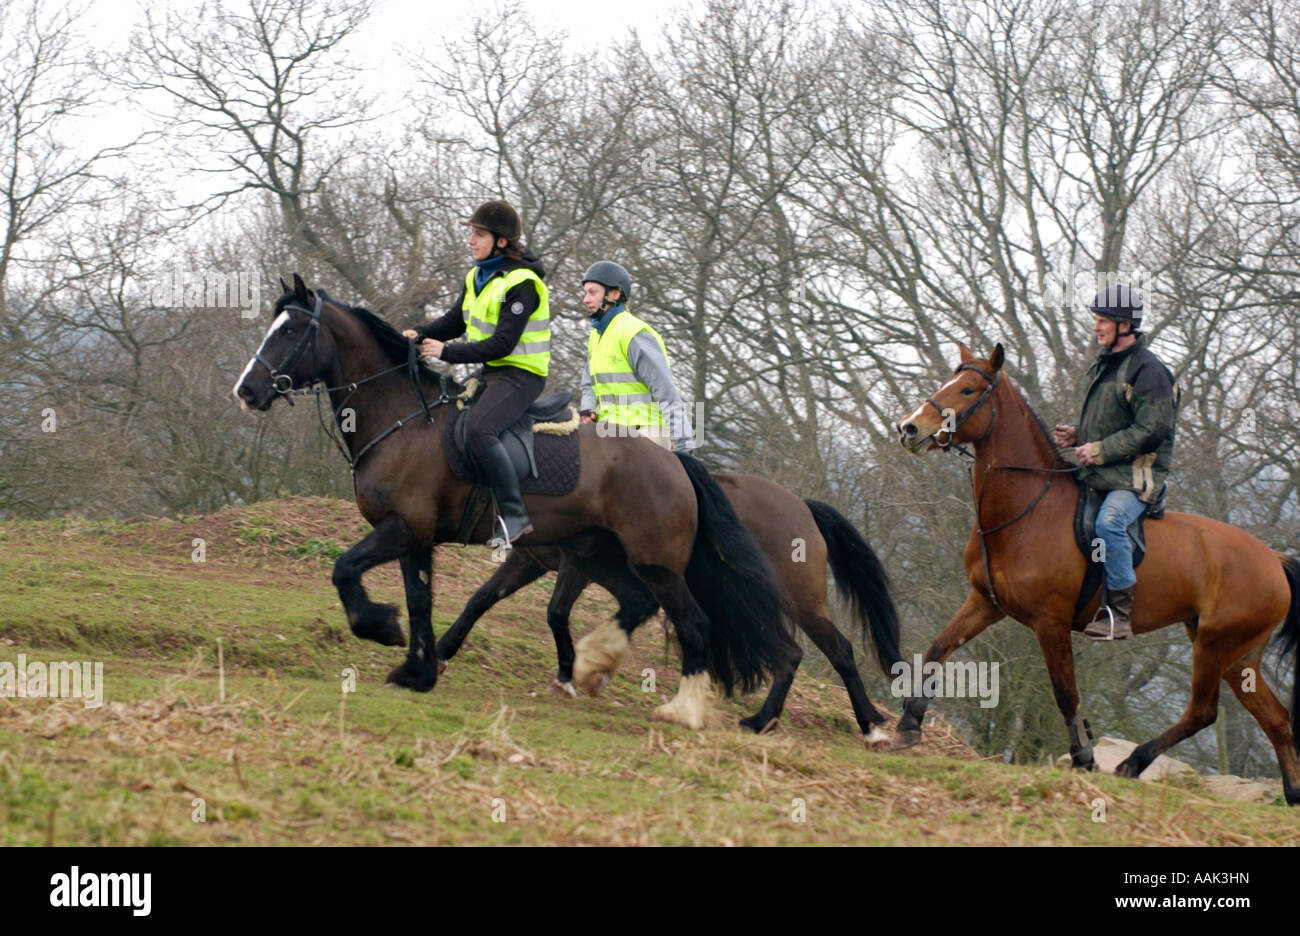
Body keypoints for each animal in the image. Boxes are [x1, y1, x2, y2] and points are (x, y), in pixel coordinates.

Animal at [232, 275, 796, 729]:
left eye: (289, 331)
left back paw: (684, 711)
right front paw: (418, 670)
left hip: (654, 563)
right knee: (638, 604)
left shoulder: (401, 528)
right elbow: (420, 600)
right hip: (597, 554)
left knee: (694, 625)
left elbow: (345, 570)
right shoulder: (416, 537)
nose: (247, 391)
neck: (403, 421)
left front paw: (382, 628)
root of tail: (675, 462)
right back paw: (594, 666)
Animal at [434, 474, 902, 744]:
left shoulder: (576, 564)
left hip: (800, 604)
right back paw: (767, 720)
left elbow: (555, 611)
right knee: (797, 653)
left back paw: (866, 725)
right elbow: (482, 598)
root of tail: (803, 506)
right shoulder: (532, 559)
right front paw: (442, 651)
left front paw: (575, 673)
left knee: (837, 651)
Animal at [892, 342, 1300, 802]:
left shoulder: (1049, 623)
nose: (909, 428)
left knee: (1203, 712)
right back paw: (1291, 794)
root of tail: (1273, 559)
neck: (1029, 510)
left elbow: (1065, 694)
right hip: (1237, 654)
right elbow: (937, 650)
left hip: (1215, 646)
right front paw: (908, 724)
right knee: (1275, 719)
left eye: (967, 389)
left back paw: (1132, 762)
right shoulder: (985, 603)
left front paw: (1085, 758)